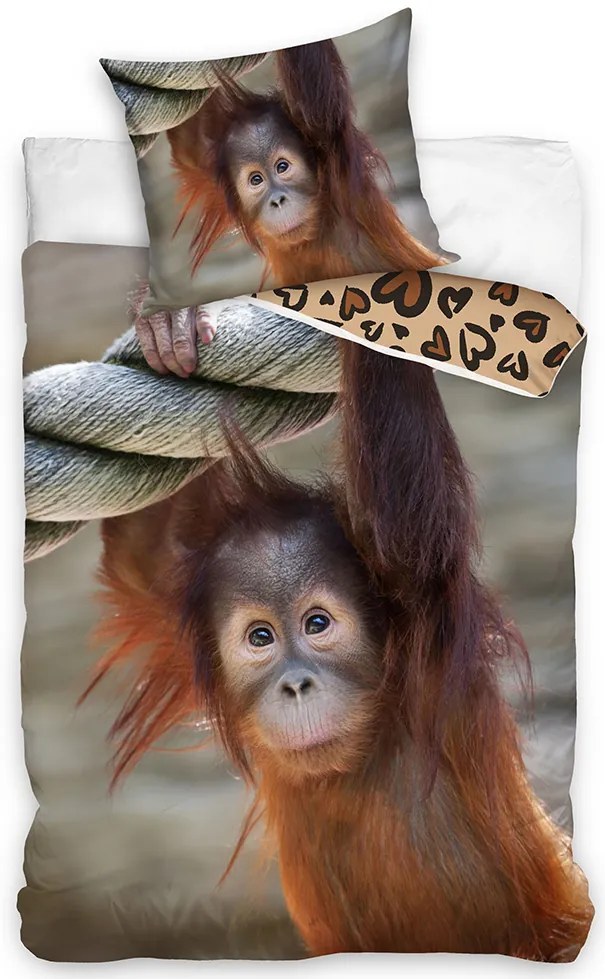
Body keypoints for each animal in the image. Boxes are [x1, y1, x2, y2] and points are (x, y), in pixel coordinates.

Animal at [86, 348, 593, 960]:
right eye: (261, 637)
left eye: (317, 624)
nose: (296, 683)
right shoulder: (173, 590)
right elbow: (141, 541)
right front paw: (168, 336)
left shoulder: (424, 612)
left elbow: (404, 512)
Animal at [134, 40, 444, 376]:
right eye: (256, 179)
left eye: (282, 167)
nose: (277, 199)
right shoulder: (209, 159)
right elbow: (189, 136)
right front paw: (165, 321)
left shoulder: (331, 145)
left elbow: (315, 90)